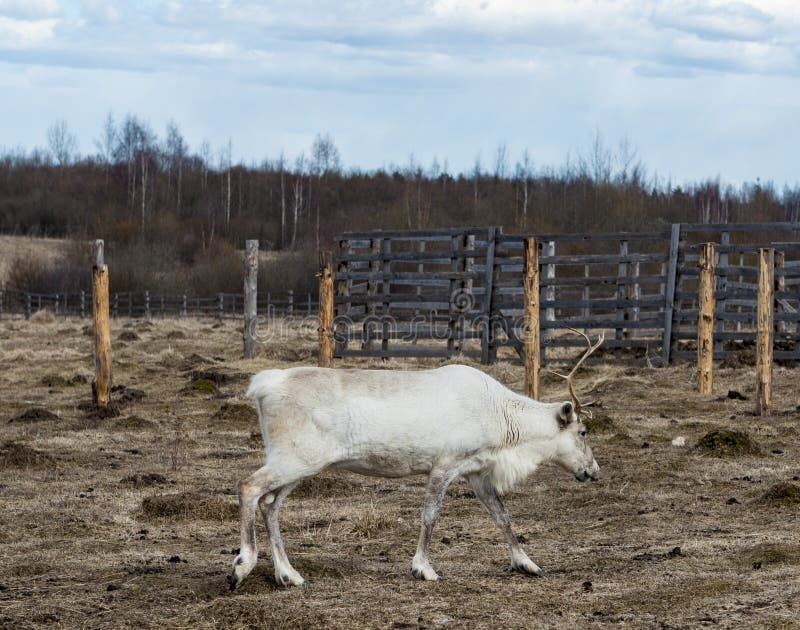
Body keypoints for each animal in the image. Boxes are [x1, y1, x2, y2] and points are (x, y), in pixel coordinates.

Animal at [229, 330, 603, 589]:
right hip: (296, 457)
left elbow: (502, 516)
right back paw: (242, 566)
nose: (594, 471)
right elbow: (430, 516)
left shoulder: (476, 472)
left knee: (270, 504)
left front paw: (527, 563)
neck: (503, 422)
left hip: (298, 463)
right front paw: (423, 568)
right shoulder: (444, 465)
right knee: (249, 486)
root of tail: (261, 385)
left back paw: (288, 574)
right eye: (583, 432)